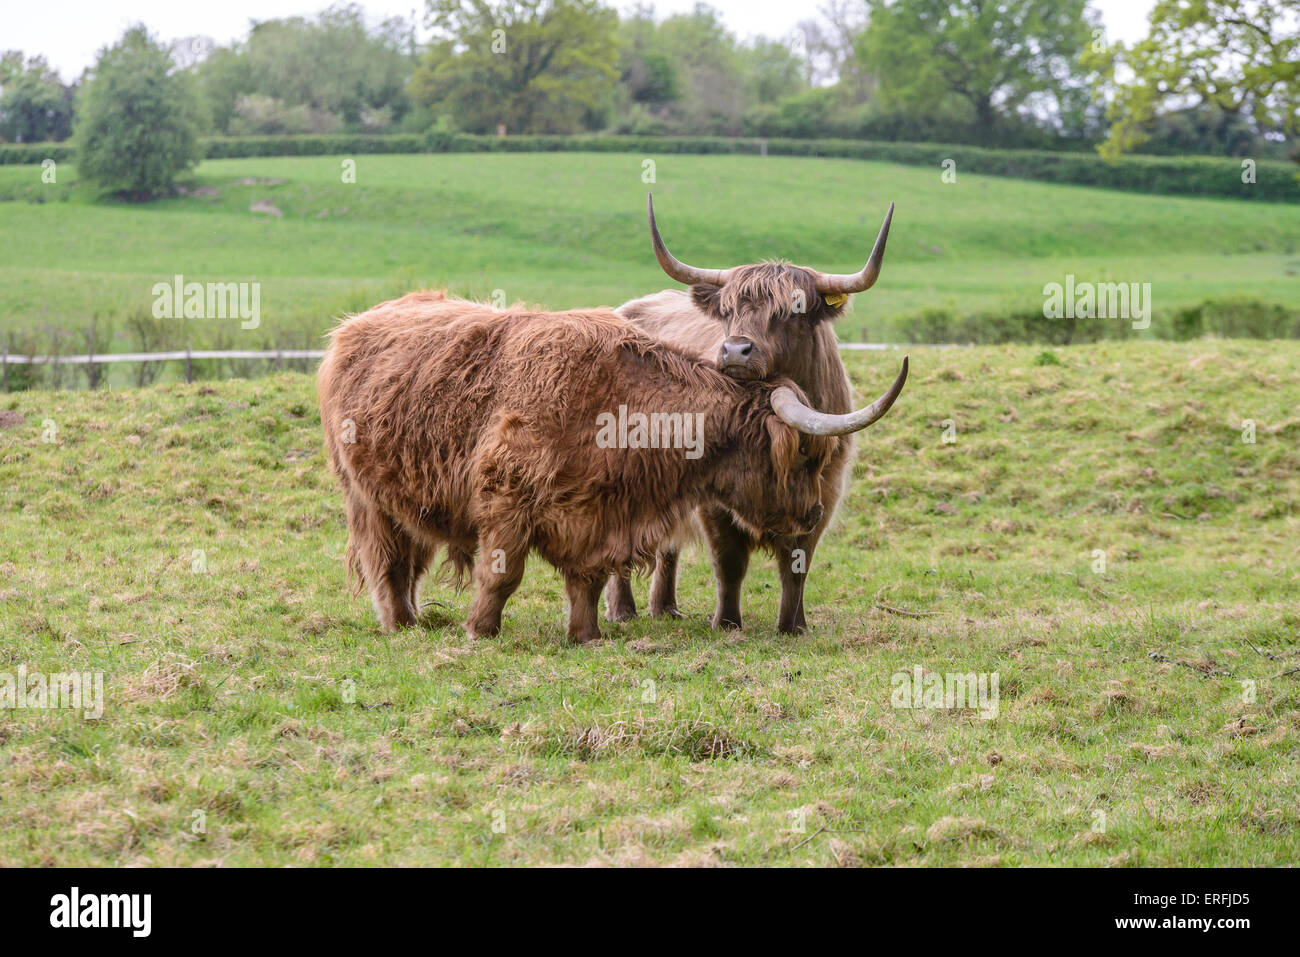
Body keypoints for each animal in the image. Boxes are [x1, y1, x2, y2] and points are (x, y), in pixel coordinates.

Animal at [318, 291, 906, 643]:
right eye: (804, 455)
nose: (812, 514)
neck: (618, 408)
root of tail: (352, 326)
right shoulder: (507, 497)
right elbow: (502, 573)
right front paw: (480, 631)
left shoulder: (596, 517)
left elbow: (589, 579)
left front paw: (586, 635)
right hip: (364, 496)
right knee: (388, 562)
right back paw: (401, 624)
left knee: (410, 558)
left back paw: (414, 618)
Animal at [604, 194, 897, 634]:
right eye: (727, 311)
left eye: (792, 311)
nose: (735, 351)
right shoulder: (713, 502)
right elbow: (729, 563)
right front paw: (727, 623)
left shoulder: (825, 490)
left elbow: (797, 564)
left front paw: (794, 626)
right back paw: (623, 610)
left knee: (668, 548)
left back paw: (666, 607)